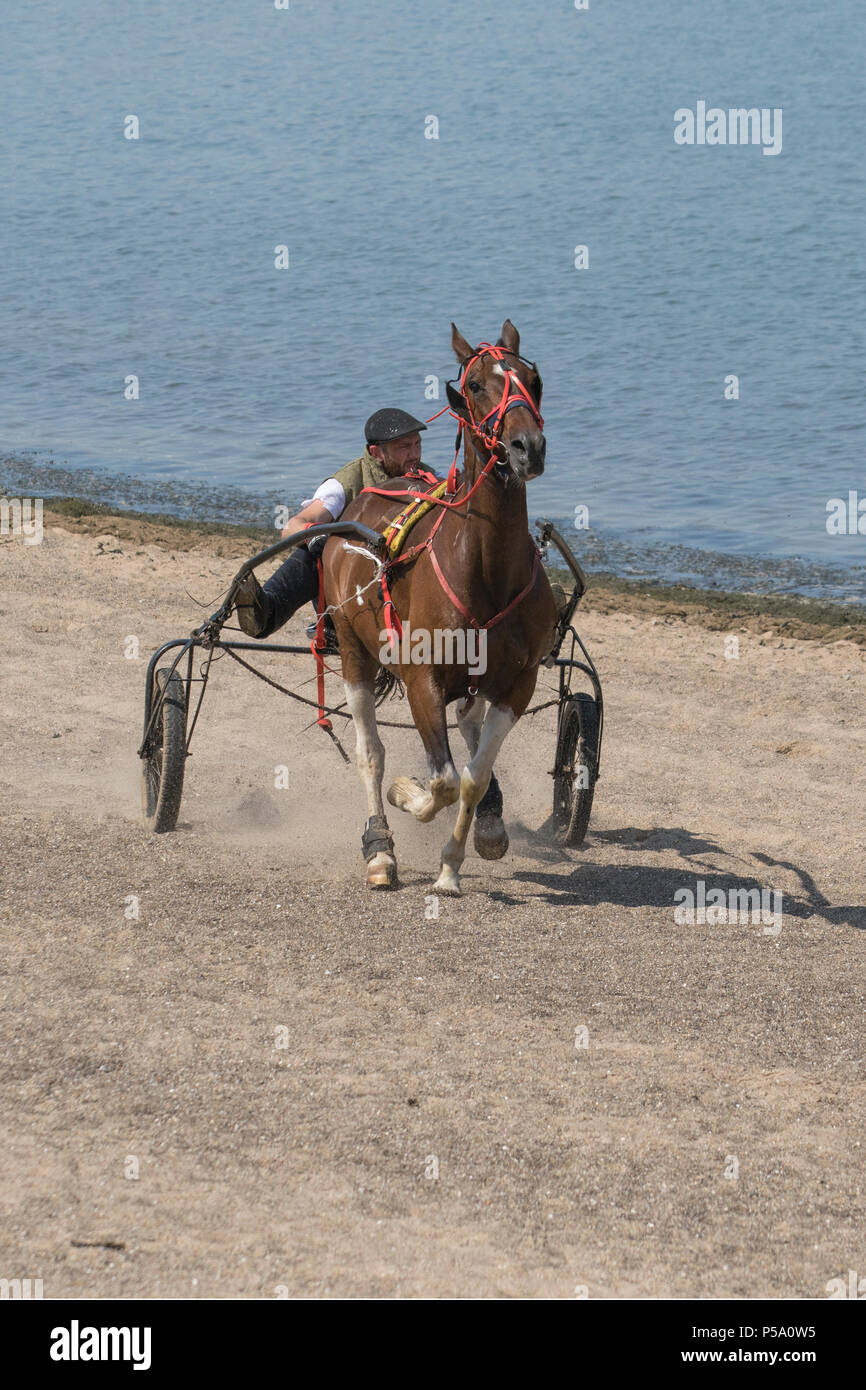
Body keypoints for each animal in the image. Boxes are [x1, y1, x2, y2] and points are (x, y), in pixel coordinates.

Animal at [322, 319, 558, 895]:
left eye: (534, 381)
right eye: (474, 384)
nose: (528, 447)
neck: (485, 570)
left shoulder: (516, 685)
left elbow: (472, 778)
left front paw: (452, 864)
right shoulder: (421, 678)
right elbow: (443, 780)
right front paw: (408, 796)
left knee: (469, 732)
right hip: (353, 650)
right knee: (371, 753)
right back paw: (380, 849)